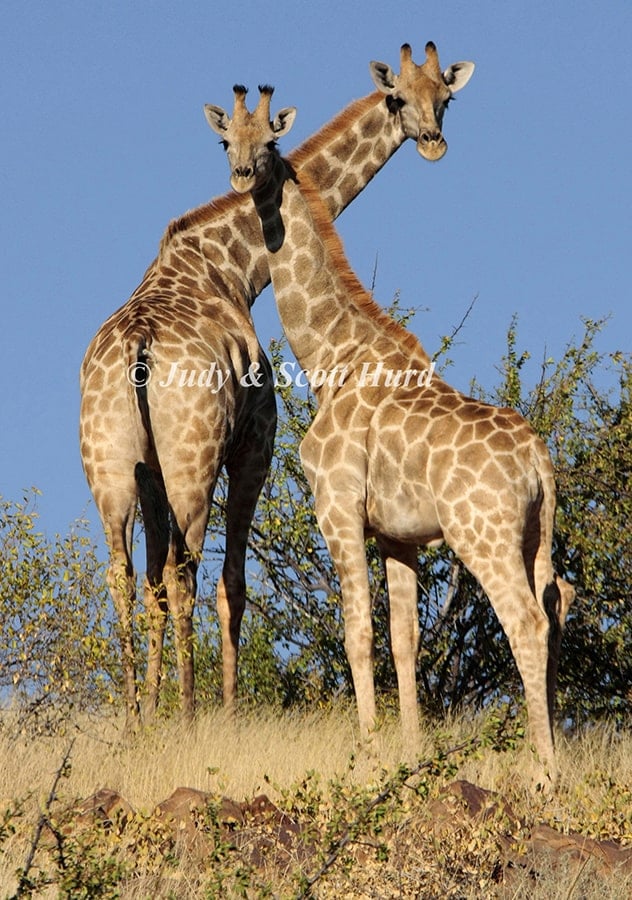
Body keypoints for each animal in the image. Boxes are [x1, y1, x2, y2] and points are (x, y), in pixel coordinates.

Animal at [80, 39, 475, 727]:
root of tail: (138, 346)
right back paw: (192, 713)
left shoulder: (148, 469)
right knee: (187, 572)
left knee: (126, 575)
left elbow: (154, 581)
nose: (432, 141)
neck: (237, 267)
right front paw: (223, 711)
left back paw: (133, 717)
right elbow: (231, 583)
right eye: (398, 98)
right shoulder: (255, 443)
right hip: (193, 459)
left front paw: (151, 712)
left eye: (444, 98)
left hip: (109, 464)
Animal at [206, 79, 575, 784]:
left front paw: (370, 753)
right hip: (536, 536)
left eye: (269, 142)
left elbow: (358, 631)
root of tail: (538, 460)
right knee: (557, 603)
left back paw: (544, 769)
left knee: (526, 620)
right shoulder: (399, 536)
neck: (331, 357)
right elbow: (405, 638)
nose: (239, 174)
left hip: (483, 535)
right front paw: (410, 753)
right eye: (224, 139)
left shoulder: (338, 508)